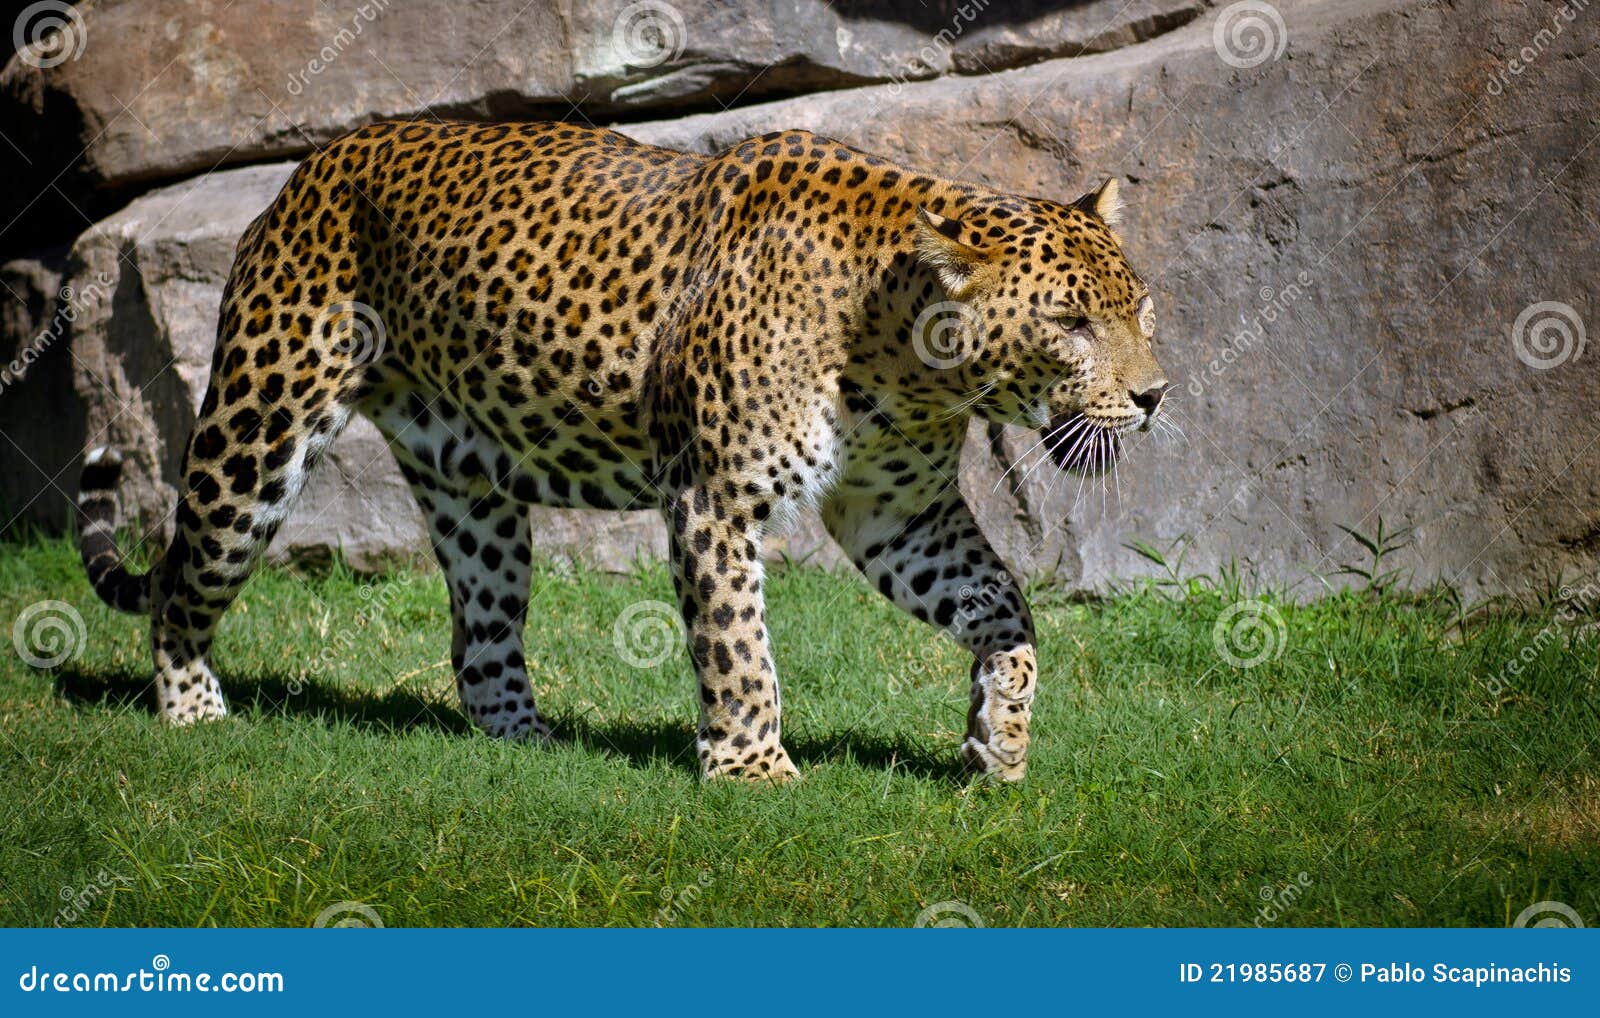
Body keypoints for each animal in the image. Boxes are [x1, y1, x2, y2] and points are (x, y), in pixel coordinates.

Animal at [76, 120, 1169, 783]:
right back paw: (191, 711)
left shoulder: (898, 512)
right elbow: (737, 645)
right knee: (183, 584)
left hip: (474, 498)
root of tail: (315, 163)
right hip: (258, 430)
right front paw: (753, 772)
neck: (906, 355)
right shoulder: (714, 496)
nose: (1155, 395)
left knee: (479, 639)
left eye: (1140, 311)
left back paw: (530, 745)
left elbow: (1003, 605)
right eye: (1069, 323)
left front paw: (1001, 737)